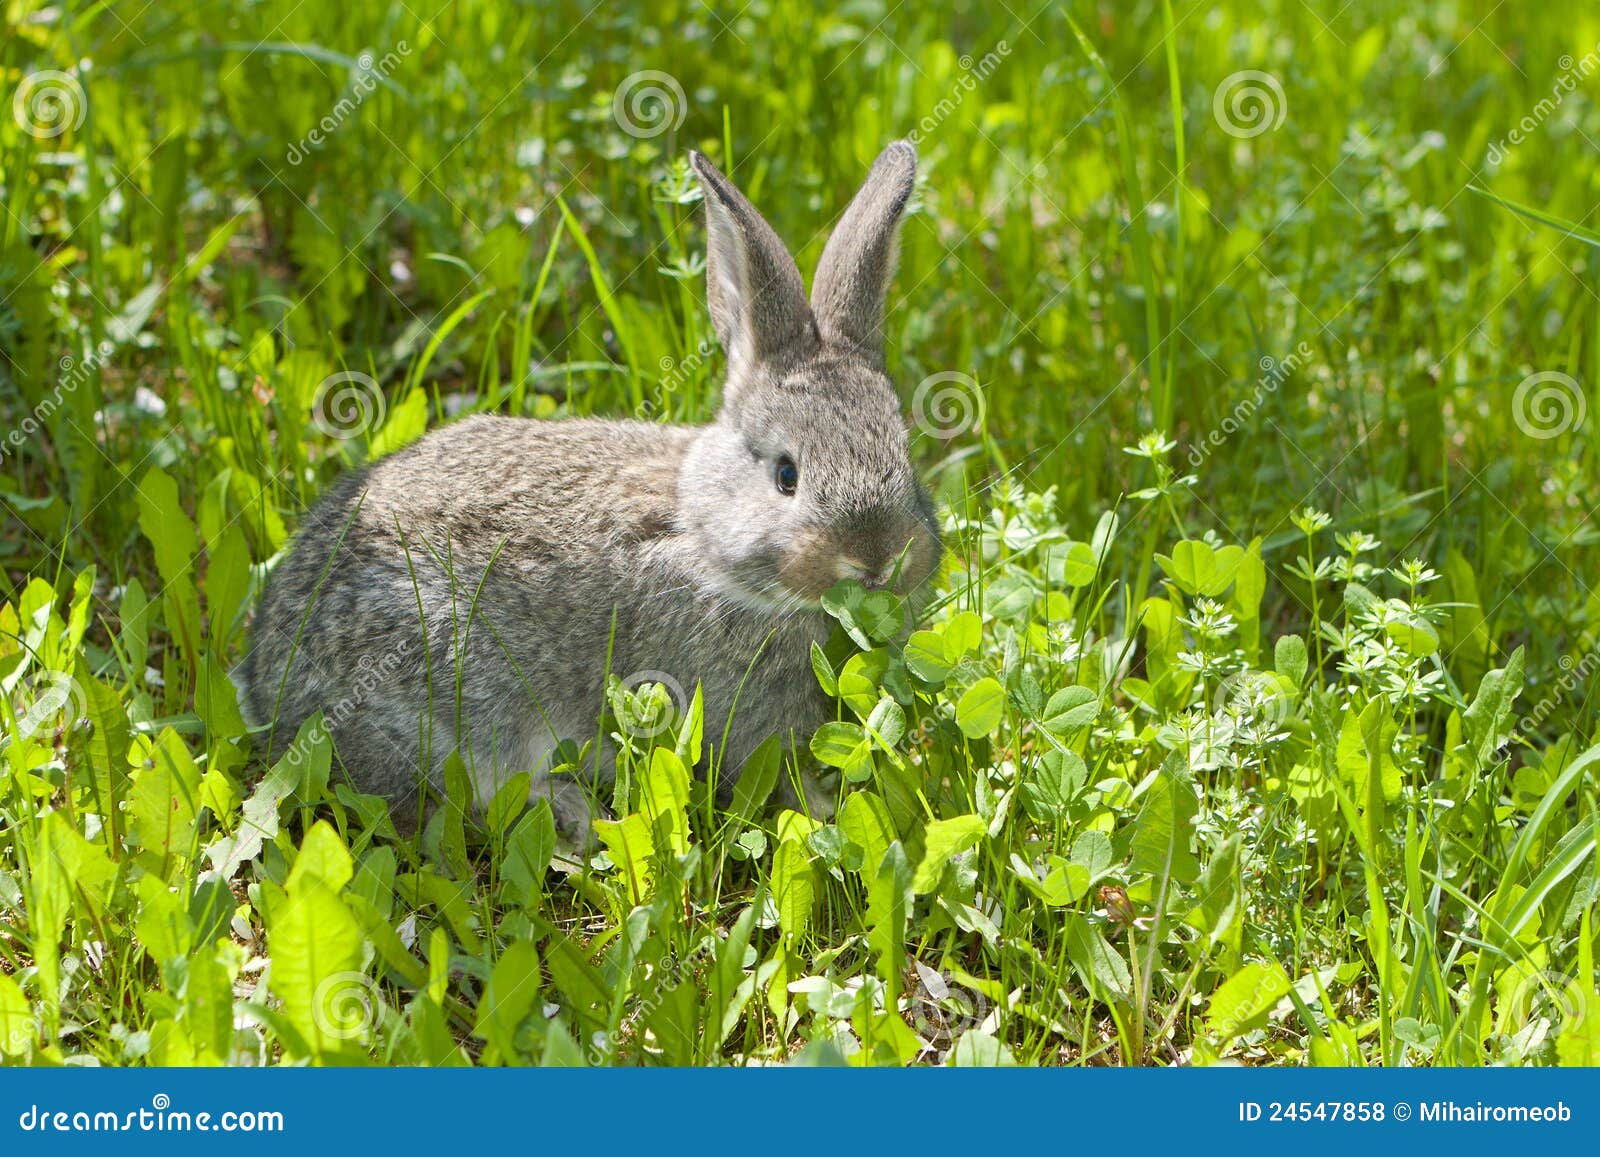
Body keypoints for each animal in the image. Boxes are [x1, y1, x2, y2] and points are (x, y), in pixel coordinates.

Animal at [237, 141, 941, 845]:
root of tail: (269, 686)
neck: (702, 534)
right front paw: (827, 814)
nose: (877, 559)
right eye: (787, 476)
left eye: (905, 456)